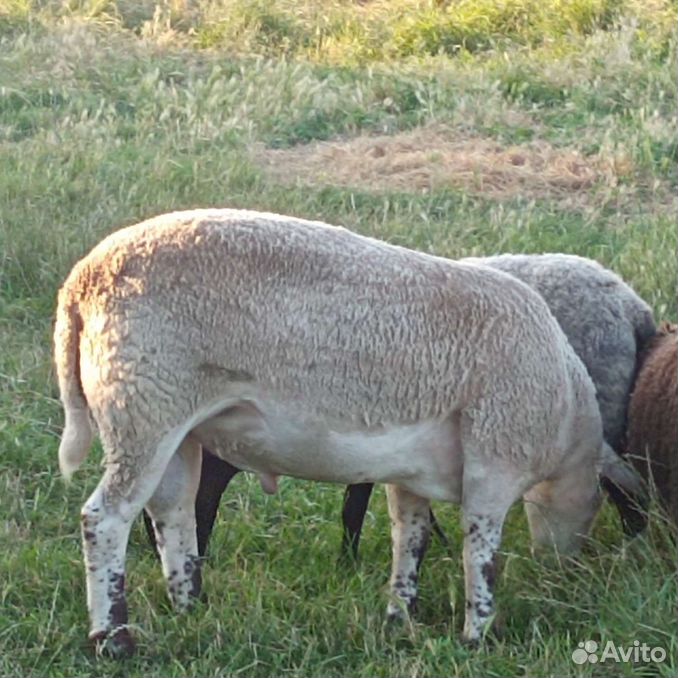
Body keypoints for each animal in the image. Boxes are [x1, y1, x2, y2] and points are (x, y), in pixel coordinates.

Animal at [158, 253, 653, 560]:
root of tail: (632, 305)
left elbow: (356, 502)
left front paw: (351, 559)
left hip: (600, 409)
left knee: (625, 485)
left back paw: (635, 541)